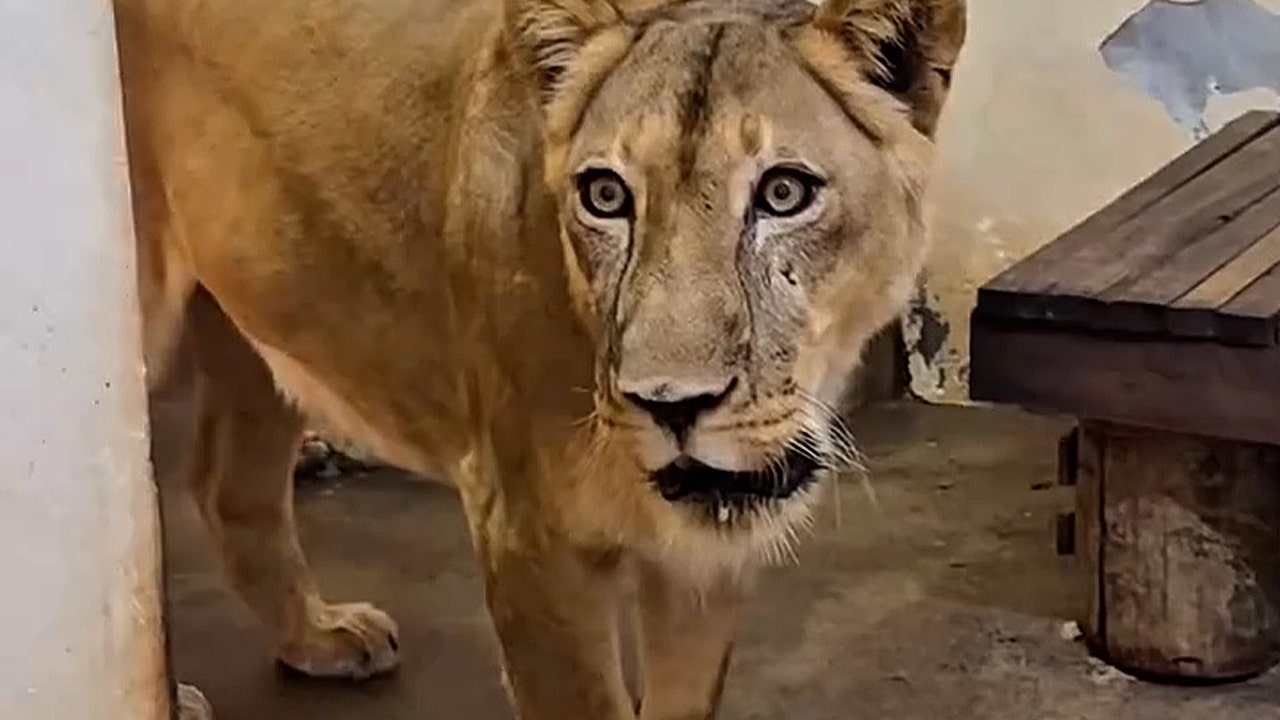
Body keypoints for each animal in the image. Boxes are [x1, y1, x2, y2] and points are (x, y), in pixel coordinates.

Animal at [113, 0, 966, 717]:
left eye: (784, 194)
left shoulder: (702, 560)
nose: (671, 404)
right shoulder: (530, 534)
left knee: (228, 484)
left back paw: (316, 638)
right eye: (606, 196)